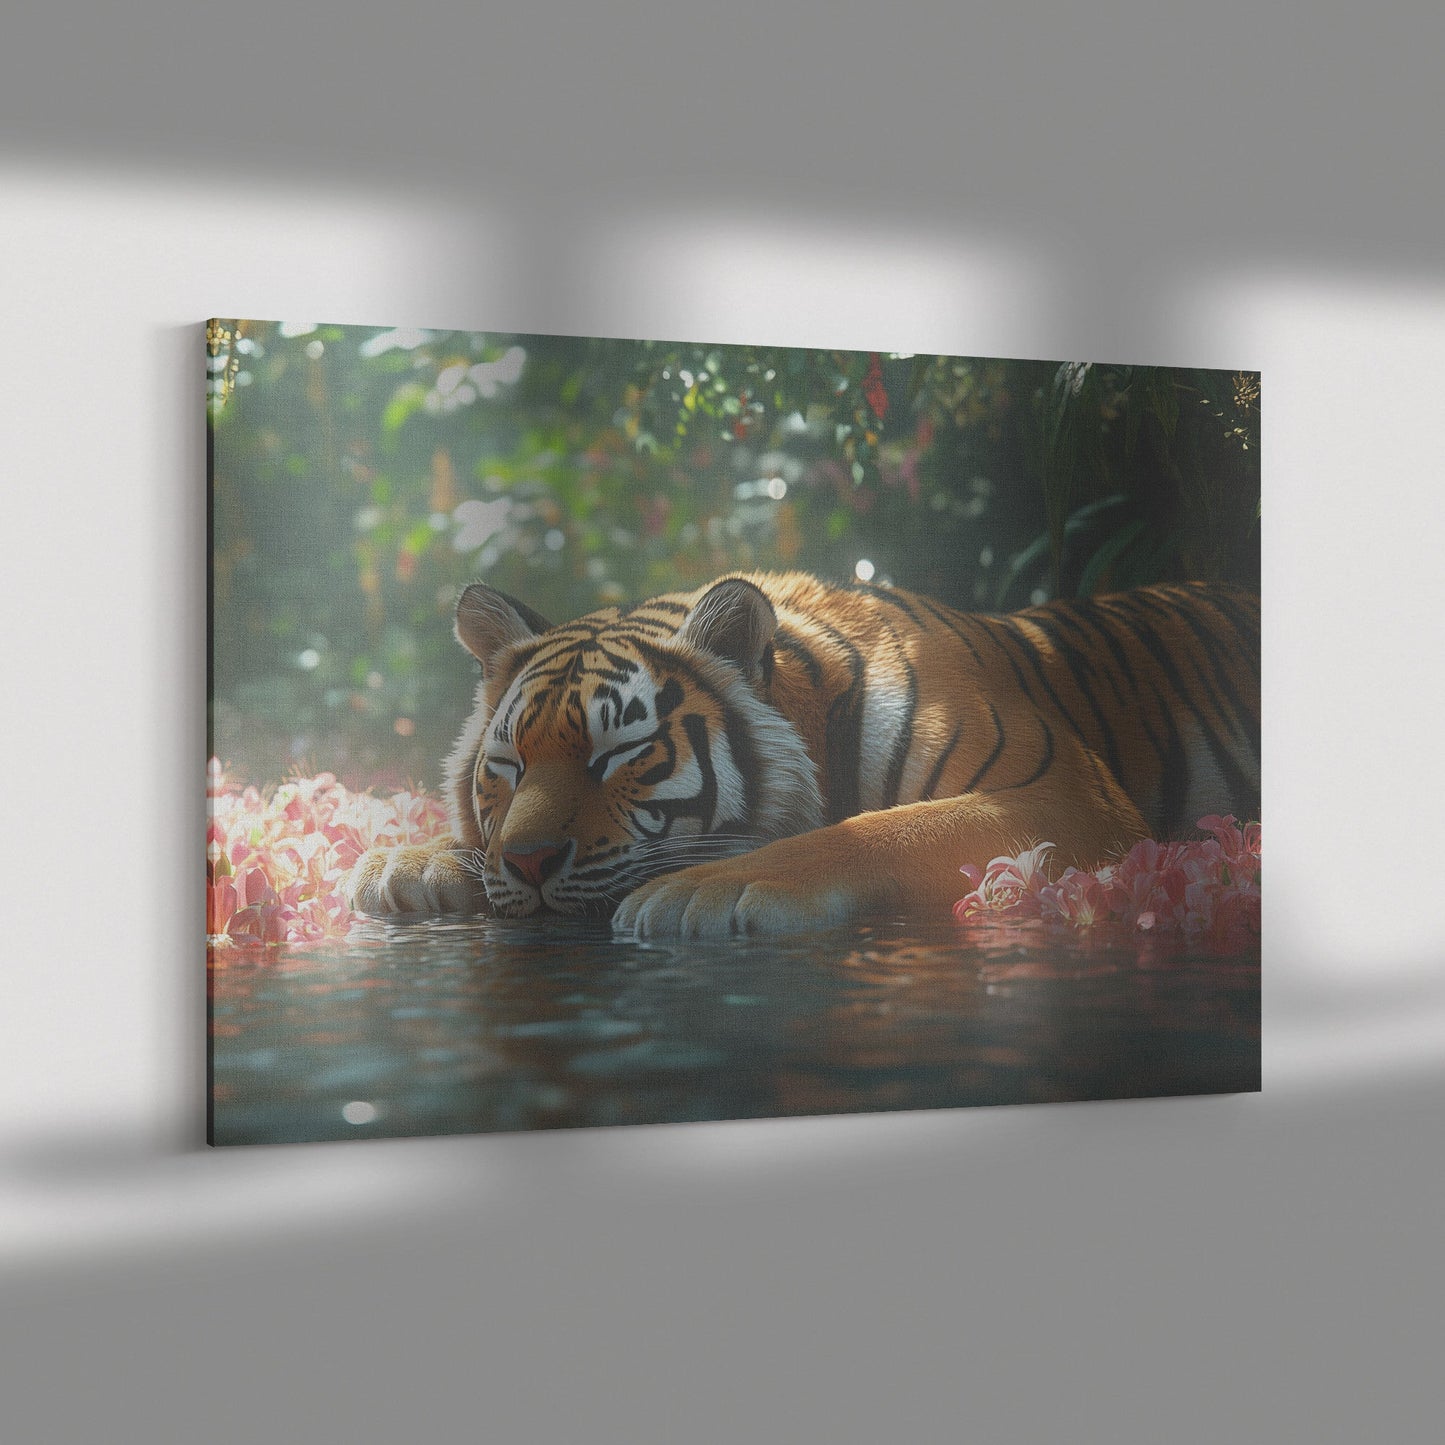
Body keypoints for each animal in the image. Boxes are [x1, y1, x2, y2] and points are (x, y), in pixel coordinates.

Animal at [345, 572, 1260, 938]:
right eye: (507, 767)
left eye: (618, 753)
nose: (529, 862)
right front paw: (408, 861)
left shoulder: (1060, 789)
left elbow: (875, 830)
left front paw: (698, 892)